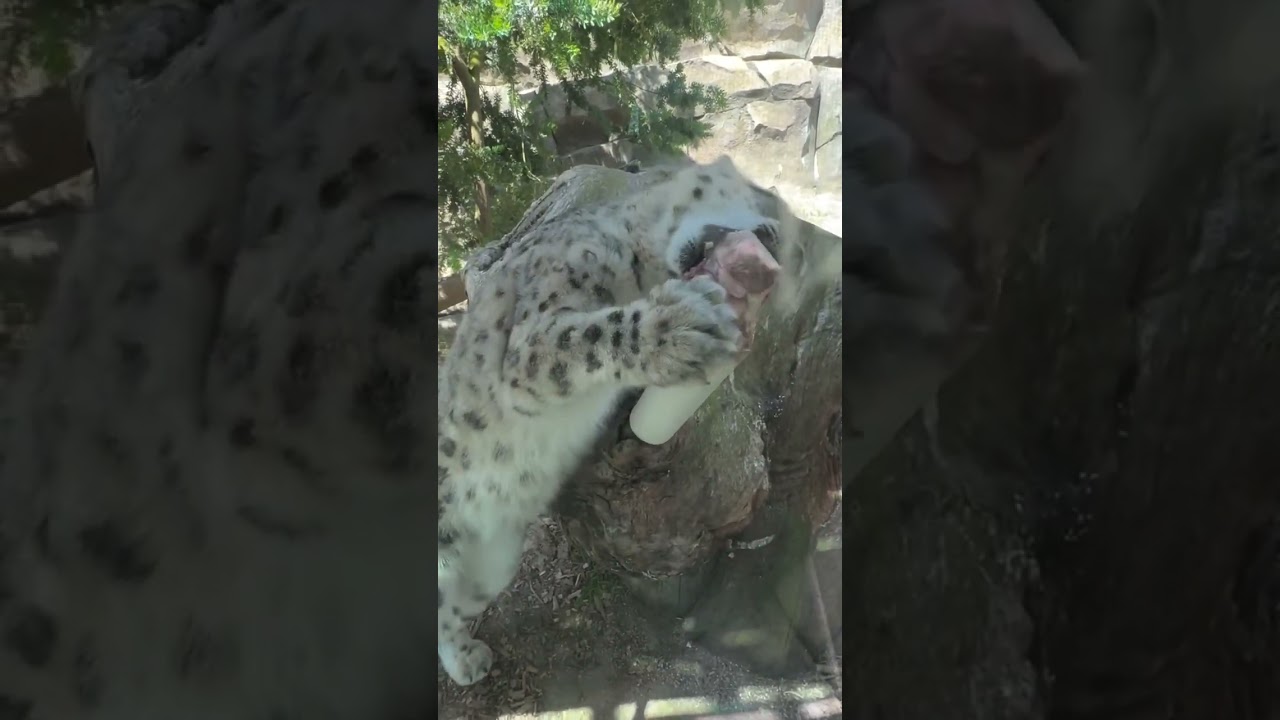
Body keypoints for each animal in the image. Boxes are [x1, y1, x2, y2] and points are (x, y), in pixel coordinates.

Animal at [436, 155, 785, 687]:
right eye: (746, 196)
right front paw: (677, 329)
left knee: (447, 609)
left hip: (489, 565)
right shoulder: (528, 346)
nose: (771, 235)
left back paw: (466, 660)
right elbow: (588, 335)